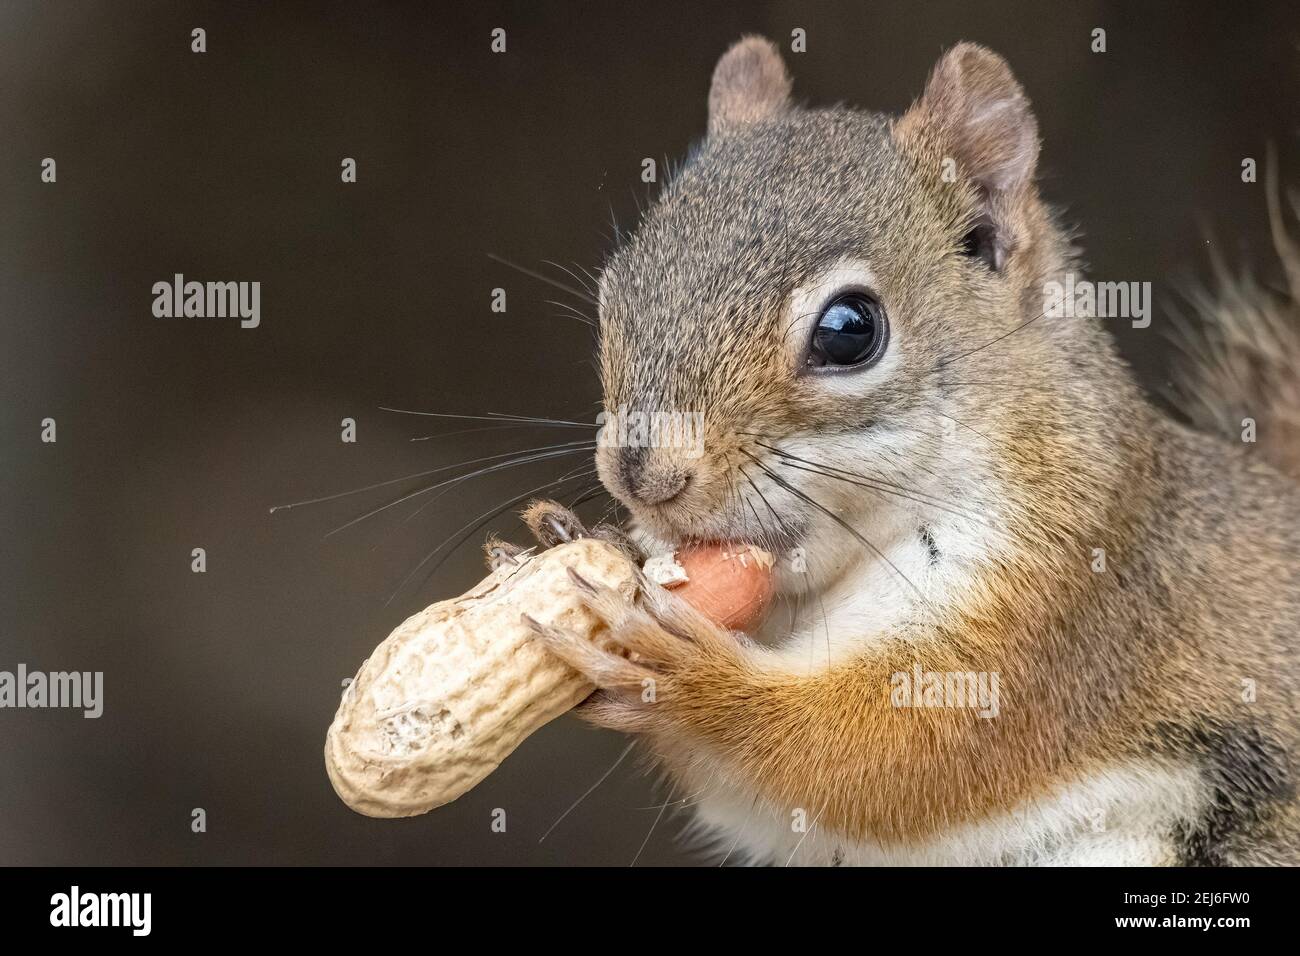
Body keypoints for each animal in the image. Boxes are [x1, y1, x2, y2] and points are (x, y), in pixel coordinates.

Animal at [499, 37, 1300, 865]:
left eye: (850, 329)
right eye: (613, 293)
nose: (641, 477)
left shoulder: (1068, 600)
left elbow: (888, 753)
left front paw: (685, 677)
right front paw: (571, 538)